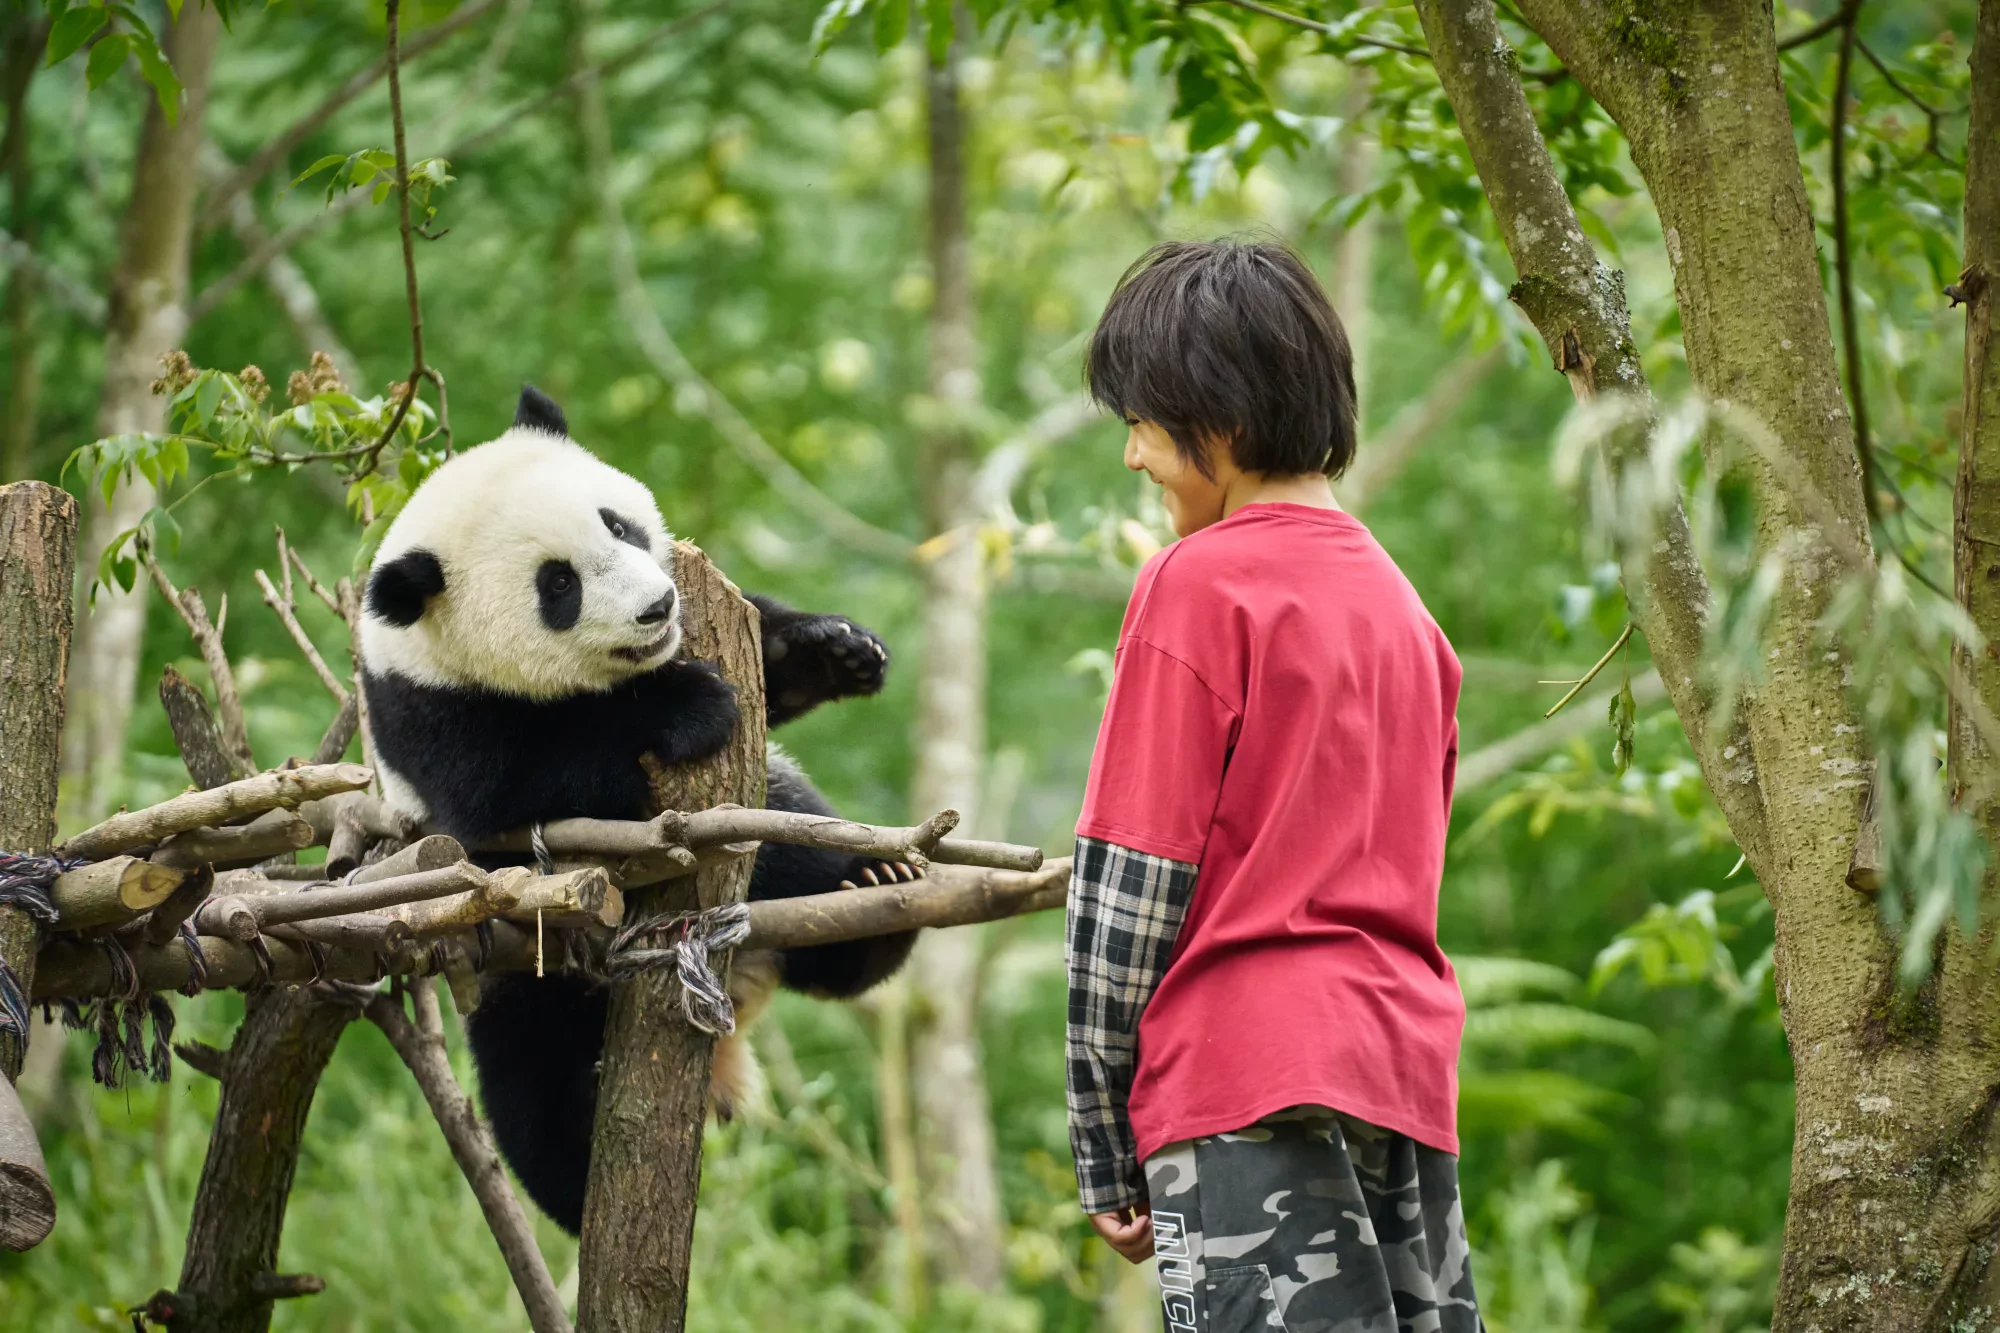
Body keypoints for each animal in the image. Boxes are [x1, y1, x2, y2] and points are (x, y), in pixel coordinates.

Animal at [358, 384, 915, 1234]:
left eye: (616, 523)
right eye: (558, 585)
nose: (658, 606)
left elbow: (765, 660)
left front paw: (837, 649)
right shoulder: (432, 715)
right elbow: (522, 780)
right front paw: (688, 704)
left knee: (801, 859)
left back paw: (875, 894)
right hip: (523, 953)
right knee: (536, 1081)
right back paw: (580, 1179)